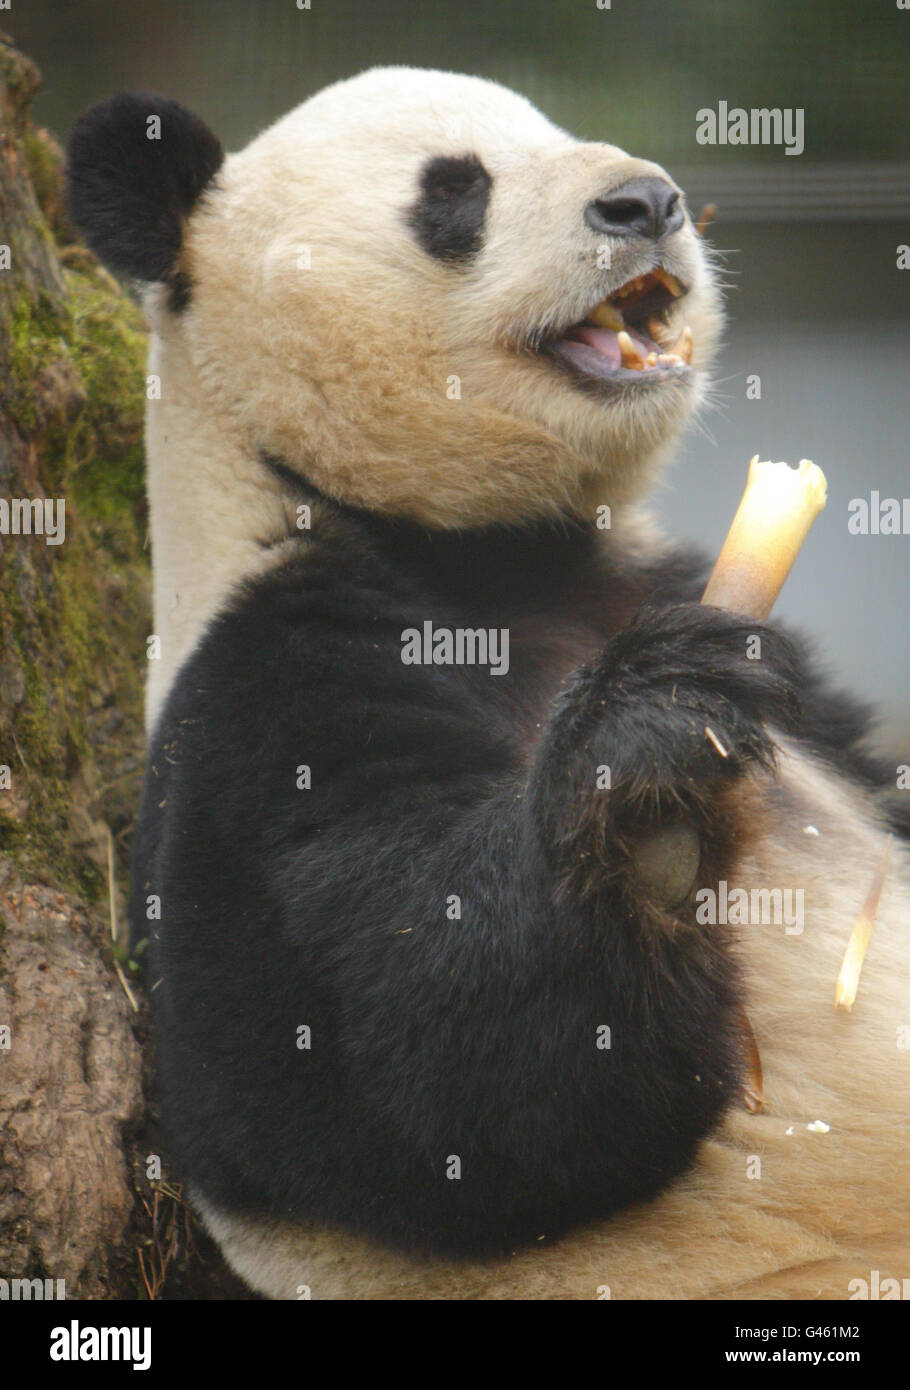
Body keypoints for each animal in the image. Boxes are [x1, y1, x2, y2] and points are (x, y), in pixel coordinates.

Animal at [66, 68, 910, 1300]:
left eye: (557, 135)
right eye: (455, 190)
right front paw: (647, 759)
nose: (646, 202)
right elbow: (404, 1068)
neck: (485, 550)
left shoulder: (693, 608)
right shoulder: (265, 686)